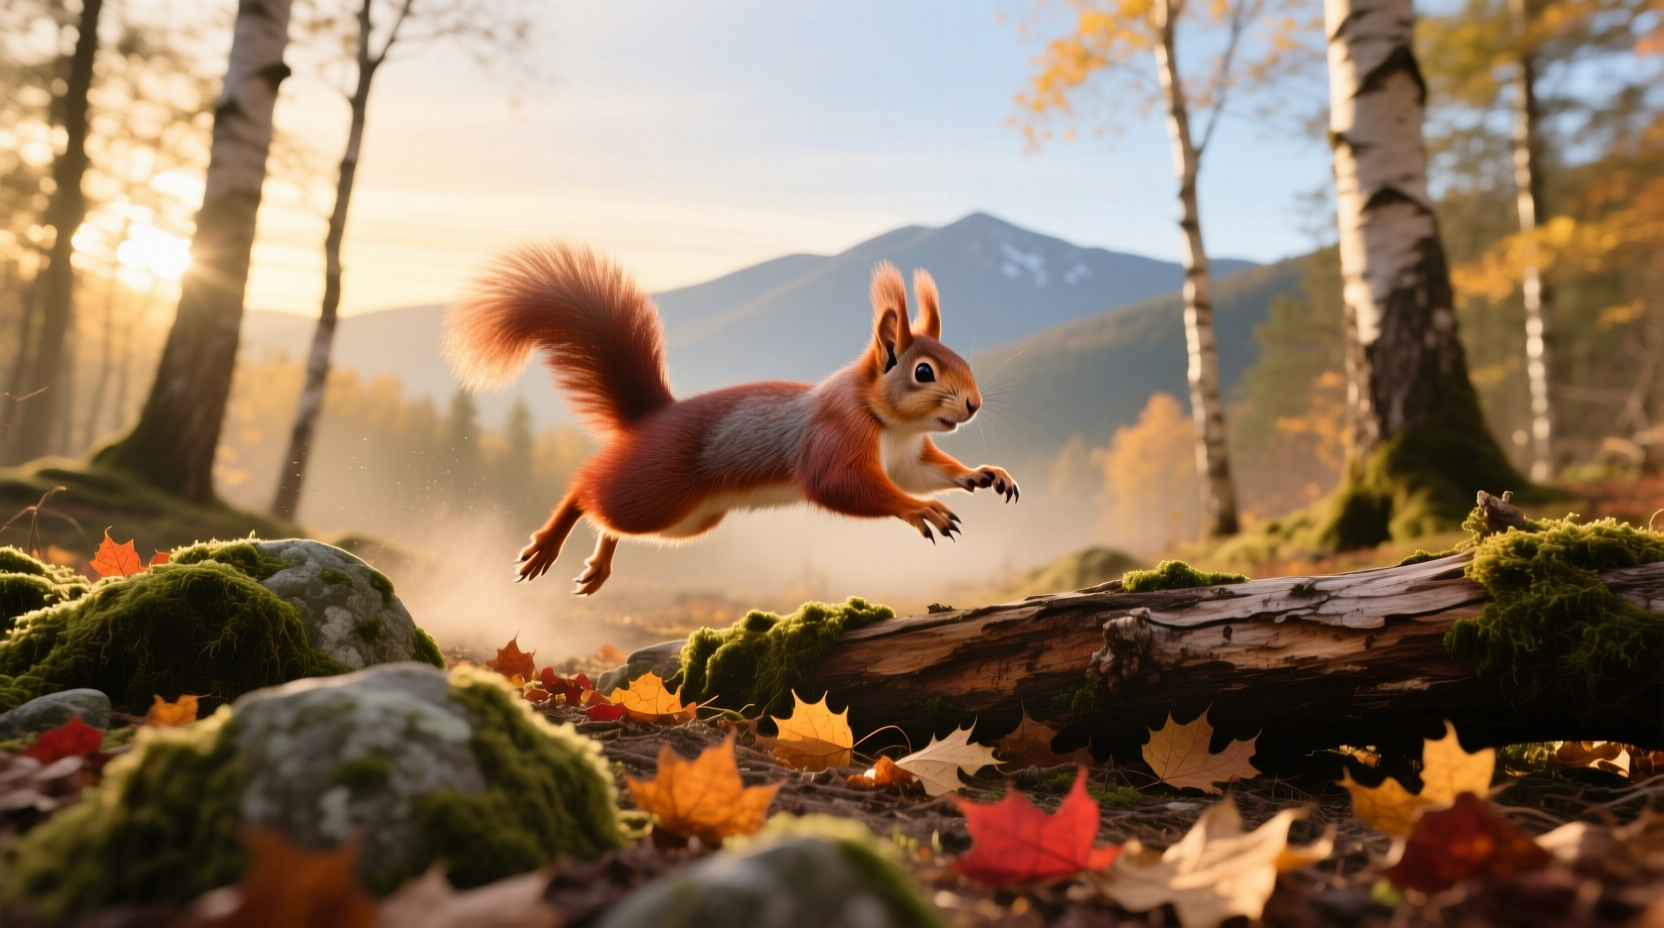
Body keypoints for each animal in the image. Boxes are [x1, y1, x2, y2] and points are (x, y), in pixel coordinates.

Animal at [443, 241, 1019, 595]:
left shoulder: (905, 458)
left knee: (610, 520)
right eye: (924, 371)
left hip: (688, 520)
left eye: (961, 359)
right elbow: (841, 484)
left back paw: (599, 564)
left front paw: (984, 474)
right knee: (586, 491)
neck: (890, 425)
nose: (974, 404)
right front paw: (921, 509)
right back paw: (547, 543)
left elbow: (928, 471)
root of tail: (652, 417)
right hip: (655, 490)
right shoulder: (833, 435)